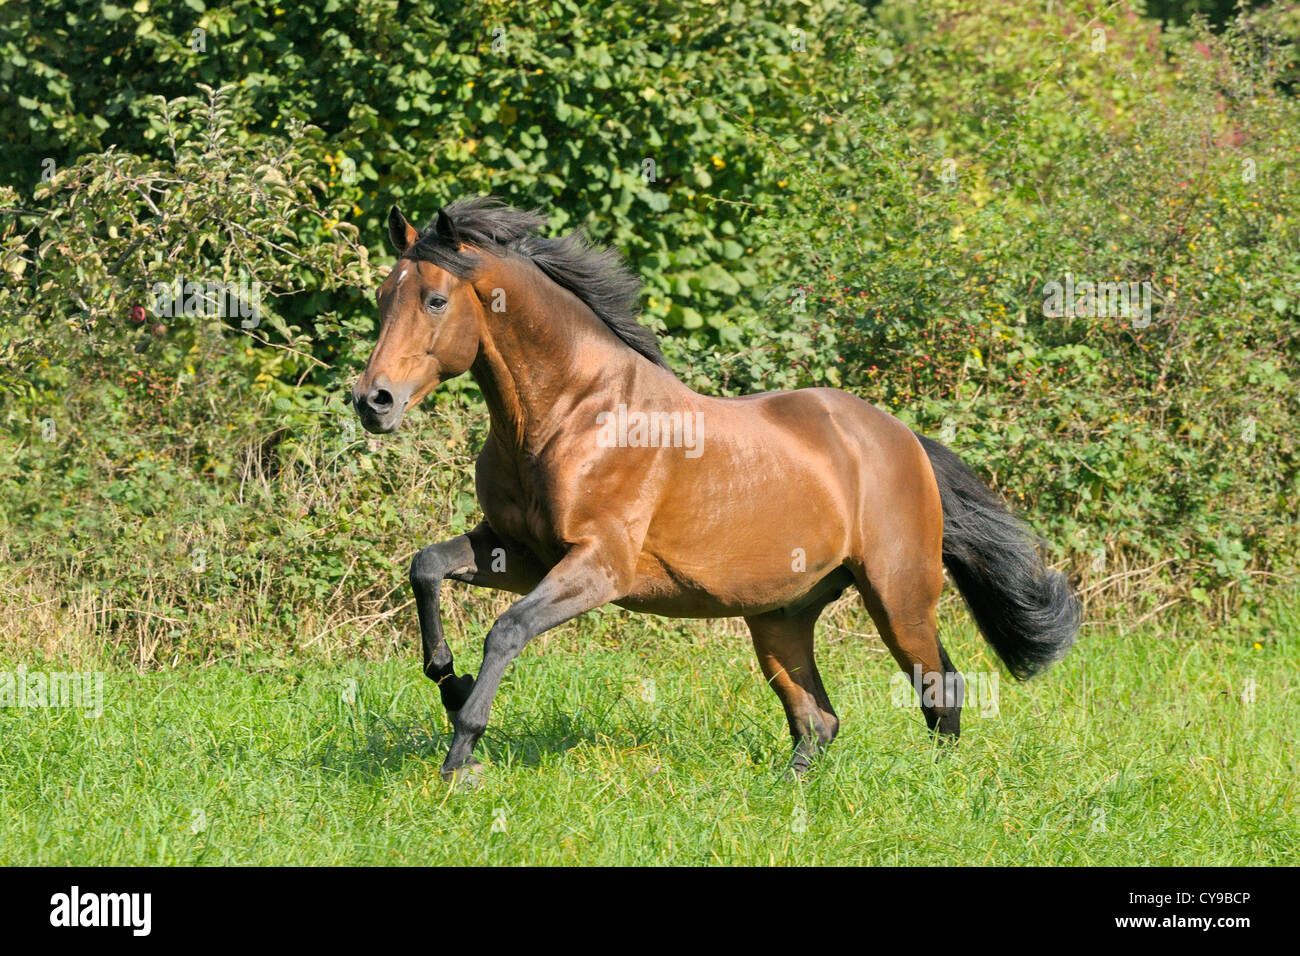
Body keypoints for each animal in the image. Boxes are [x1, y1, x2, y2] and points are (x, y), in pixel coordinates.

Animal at [351, 197, 1080, 782]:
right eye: (384, 297)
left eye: (435, 300)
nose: (372, 402)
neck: (570, 413)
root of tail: (902, 439)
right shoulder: (518, 551)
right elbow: (427, 567)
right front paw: (447, 679)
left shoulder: (597, 567)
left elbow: (506, 631)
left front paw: (459, 757)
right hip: (781, 616)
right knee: (817, 718)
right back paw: (786, 794)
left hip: (898, 595)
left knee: (939, 688)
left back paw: (942, 785)